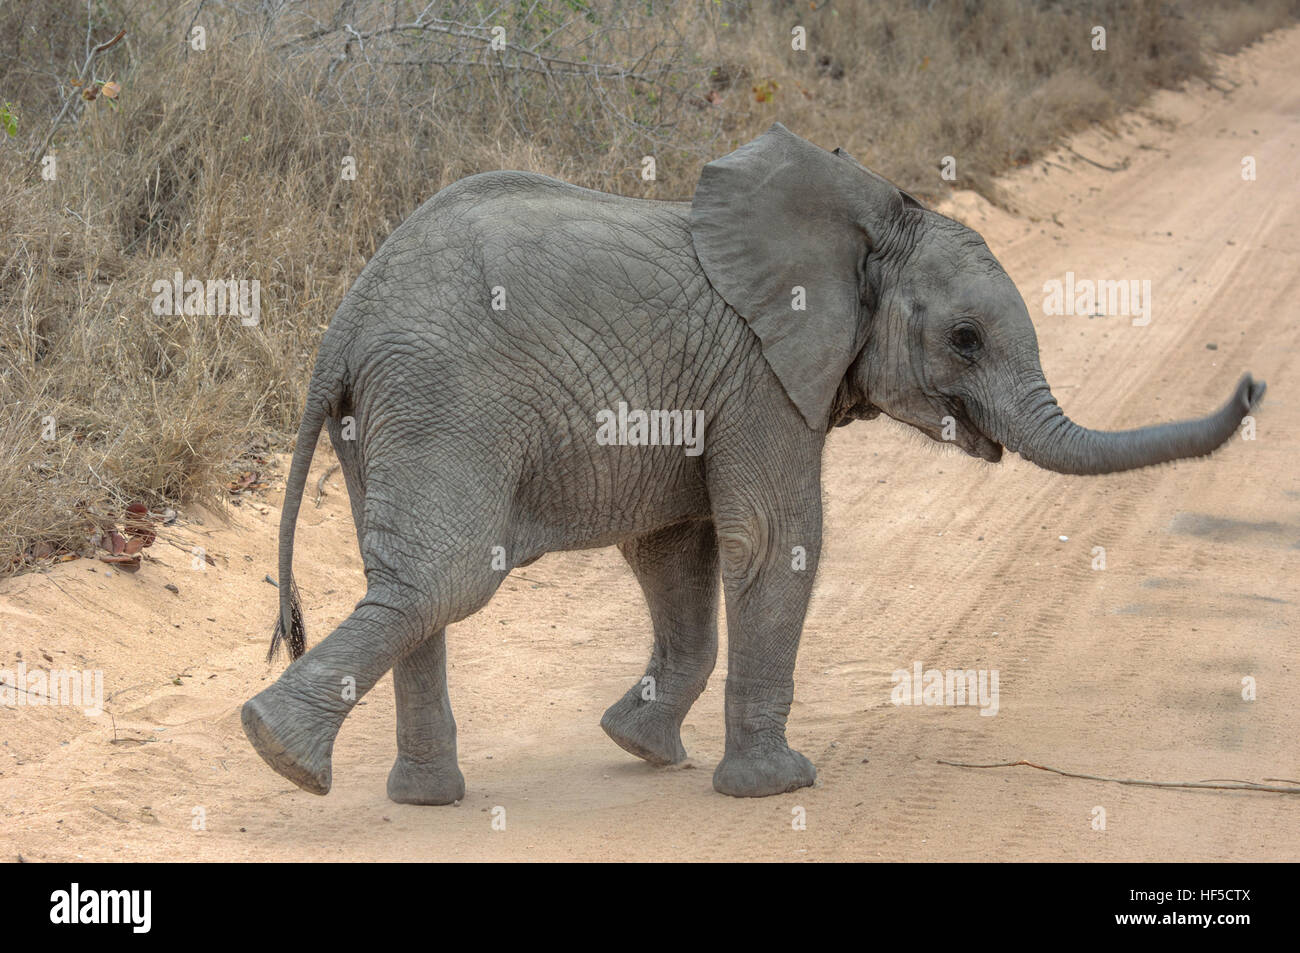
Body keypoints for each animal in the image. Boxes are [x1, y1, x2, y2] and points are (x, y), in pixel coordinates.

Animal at [241, 122, 1265, 802]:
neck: (868, 215)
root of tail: (345, 321)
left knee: (413, 585)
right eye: (965, 339)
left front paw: (644, 748)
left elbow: (677, 553)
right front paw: (777, 787)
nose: (1255, 386)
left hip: (393, 413)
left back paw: (414, 794)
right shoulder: (761, 373)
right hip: (442, 399)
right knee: (445, 578)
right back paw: (280, 755)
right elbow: (777, 539)